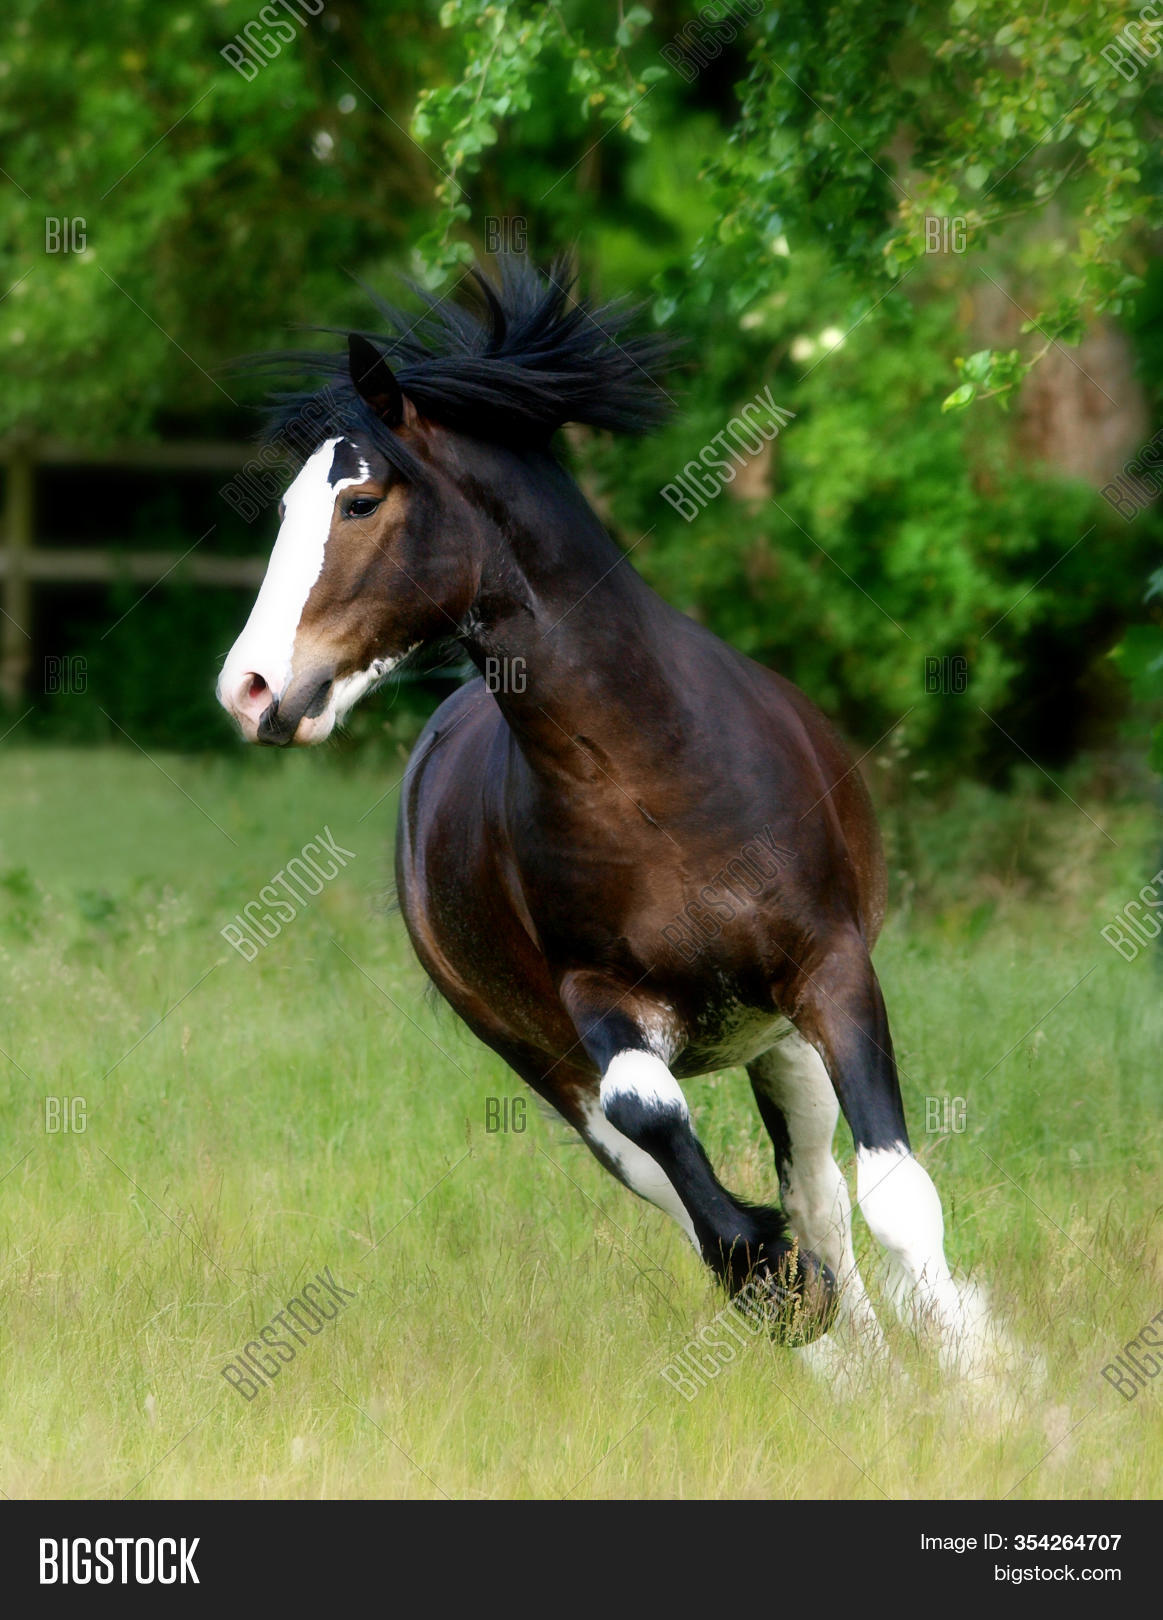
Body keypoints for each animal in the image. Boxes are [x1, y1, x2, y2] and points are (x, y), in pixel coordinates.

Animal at [217, 258, 990, 1369]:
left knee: (822, 1192)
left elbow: (892, 1196)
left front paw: (987, 1380)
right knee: (702, 1193)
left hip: (776, 1033)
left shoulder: (830, 969)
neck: (647, 780)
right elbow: (675, 1147)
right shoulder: (598, 1009)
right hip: (557, 1070)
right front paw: (780, 1278)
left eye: (358, 501)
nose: (247, 689)